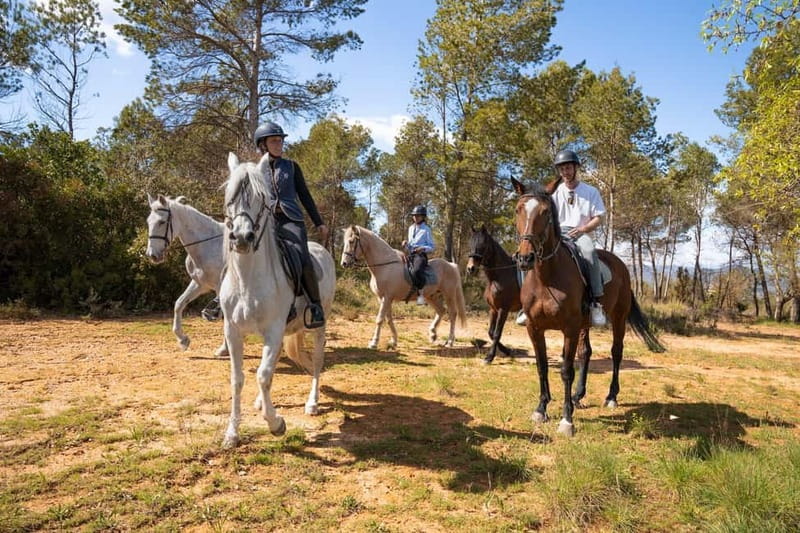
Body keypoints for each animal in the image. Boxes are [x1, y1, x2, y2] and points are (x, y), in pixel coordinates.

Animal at [145, 194, 227, 356]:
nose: (153, 255)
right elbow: (179, 304)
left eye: (162, 222)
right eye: (148, 222)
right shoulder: (200, 284)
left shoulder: (220, 285)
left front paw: (224, 349)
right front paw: (183, 340)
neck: (208, 245)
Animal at [219, 152, 336, 448]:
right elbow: (238, 379)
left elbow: (262, 375)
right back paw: (261, 402)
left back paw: (312, 403)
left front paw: (276, 424)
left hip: (319, 324)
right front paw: (232, 433)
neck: (247, 280)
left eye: (262, 198)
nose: (242, 238)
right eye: (229, 197)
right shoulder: (233, 332)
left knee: (316, 361)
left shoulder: (273, 330)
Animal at [466, 224, 522, 364]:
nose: (470, 268)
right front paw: (508, 351)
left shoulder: (503, 310)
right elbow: (491, 333)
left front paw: (489, 357)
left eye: (483, 245)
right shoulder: (493, 309)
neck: (498, 277)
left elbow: (497, 333)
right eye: (470, 244)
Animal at [511, 177, 664, 437]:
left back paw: (611, 397)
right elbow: (542, 366)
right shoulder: (535, 328)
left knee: (616, 352)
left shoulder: (570, 328)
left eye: (545, 212)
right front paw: (541, 408)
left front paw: (566, 420)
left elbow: (566, 370)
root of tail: (620, 265)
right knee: (586, 353)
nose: (525, 258)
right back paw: (578, 396)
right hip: (585, 324)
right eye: (518, 210)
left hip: (618, 318)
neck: (546, 279)